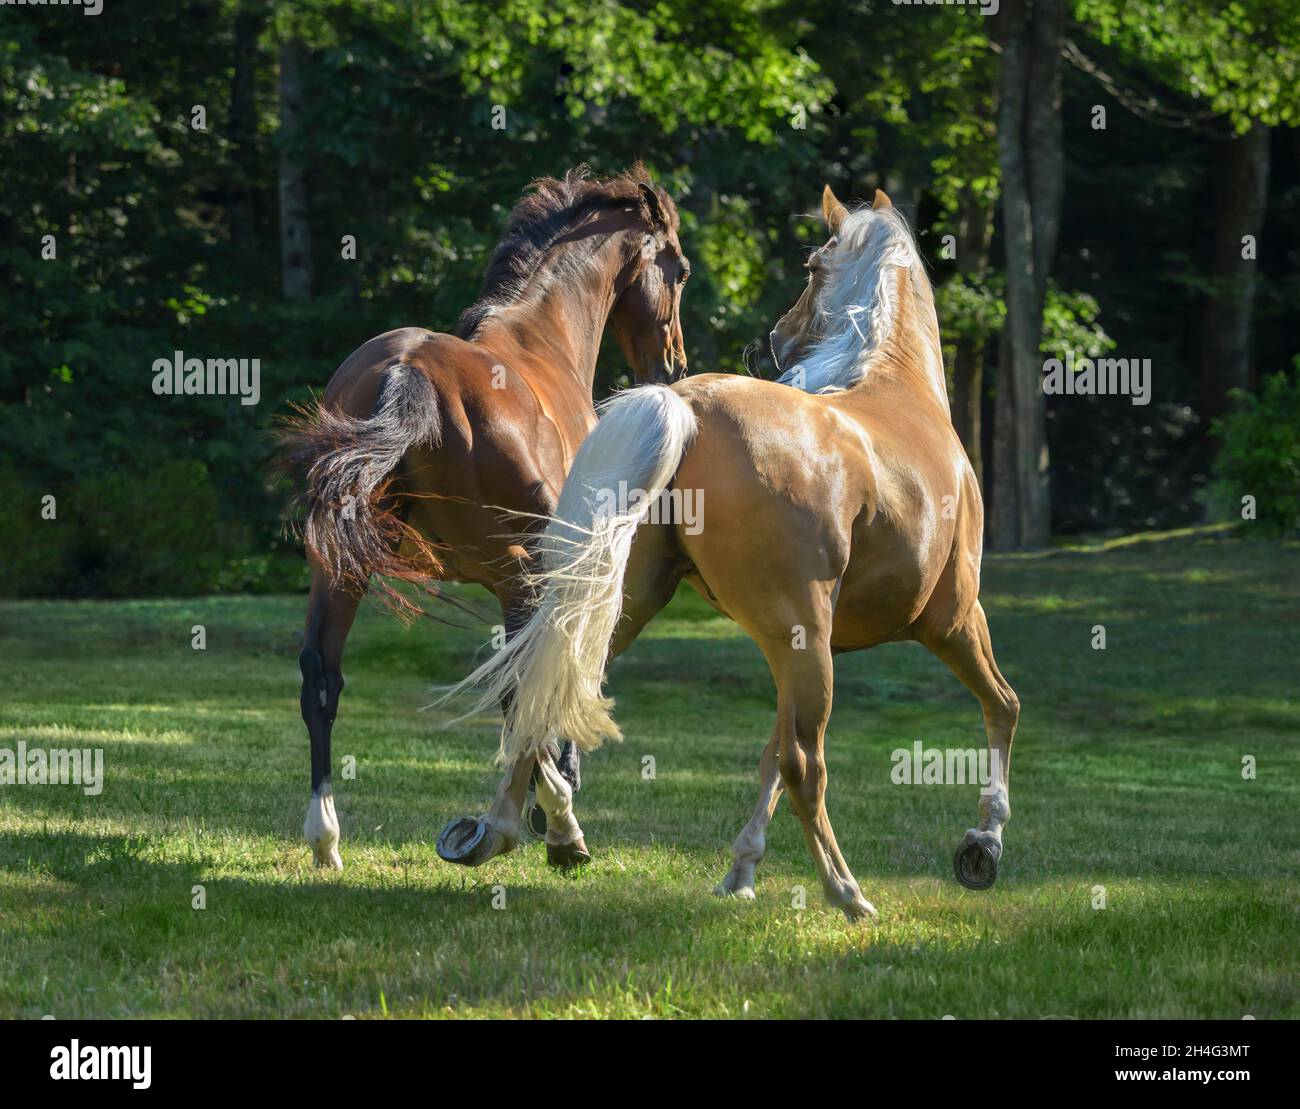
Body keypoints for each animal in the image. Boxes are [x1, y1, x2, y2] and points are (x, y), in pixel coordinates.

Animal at [279, 166, 690, 873]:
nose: (674, 365)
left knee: (321, 678)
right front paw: (551, 812)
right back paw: (549, 824)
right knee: (521, 682)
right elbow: (553, 673)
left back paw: (326, 838)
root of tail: (405, 375)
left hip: (339, 569)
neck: (539, 339)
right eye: (682, 270)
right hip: (513, 572)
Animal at [446, 184, 1020, 921]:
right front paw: (984, 843)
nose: (774, 341)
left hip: (635, 608)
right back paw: (848, 893)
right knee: (810, 767)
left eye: (811, 267)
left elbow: (770, 753)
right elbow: (1002, 705)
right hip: (810, 638)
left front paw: (741, 869)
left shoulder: (811, 647)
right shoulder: (951, 620)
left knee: (538, 695)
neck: (902, 393)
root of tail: (687, 407)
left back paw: (502, 834)